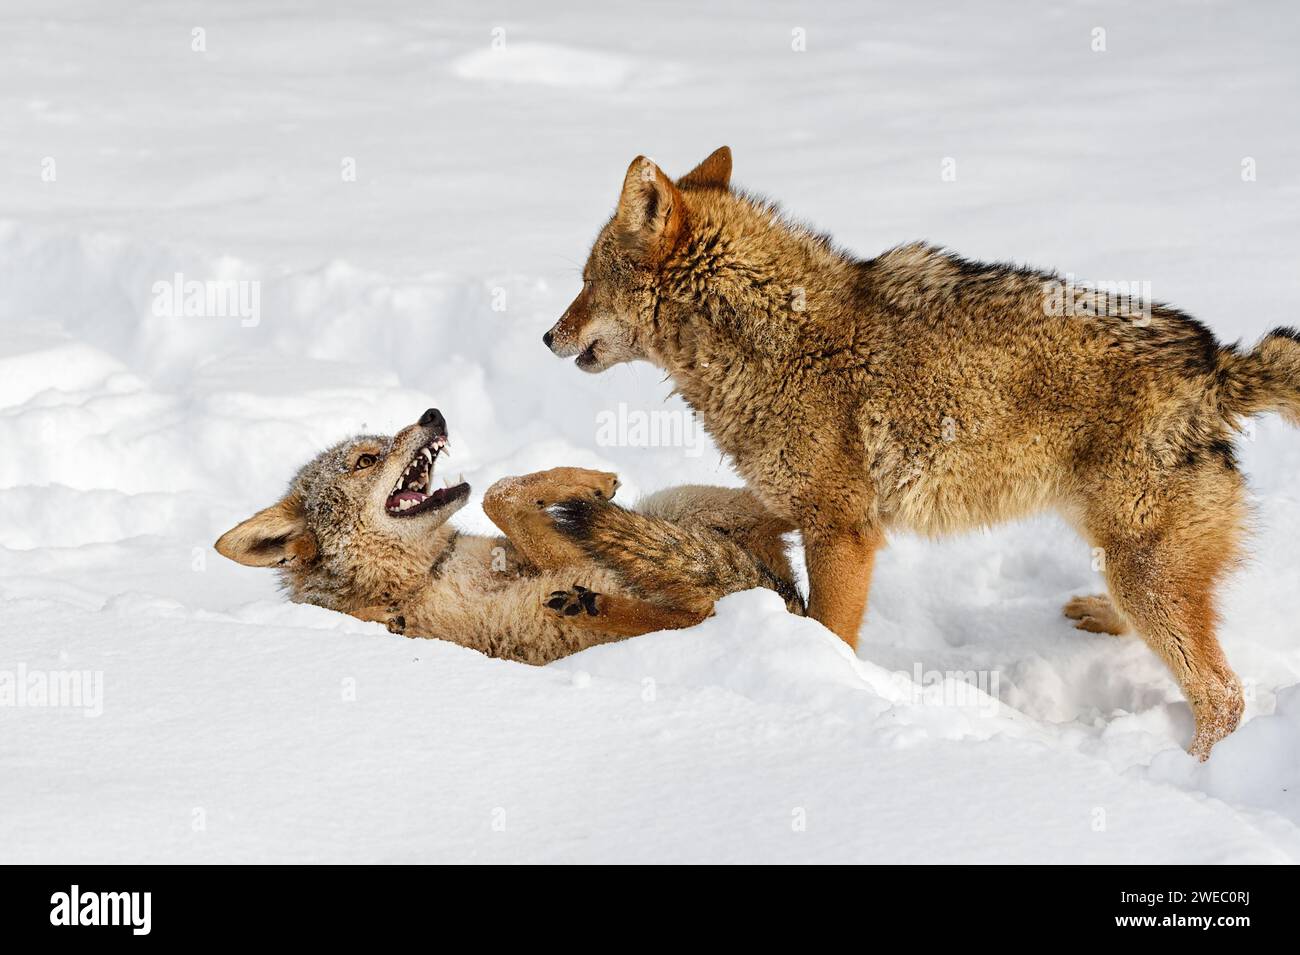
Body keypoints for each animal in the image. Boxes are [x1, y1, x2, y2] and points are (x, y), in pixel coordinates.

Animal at [214, 408, 802, 665]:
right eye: (365, 461)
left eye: (380, 441)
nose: (432, 414)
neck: (427, 577)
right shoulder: (568, 559)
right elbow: (500, 494)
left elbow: (502, 492)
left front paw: (589, 481)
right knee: (699, 610)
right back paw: (592, 605)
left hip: (683, 504)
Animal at [543, 146, 1300, 757]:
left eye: (585, 281)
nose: (548, 337)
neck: (766, 340)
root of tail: (1216, 364)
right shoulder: (790, 503)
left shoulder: (843, 532)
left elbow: (830, 631)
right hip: (1118, 549)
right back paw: (1099, 619)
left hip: (1142, 567)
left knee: (1223, 693)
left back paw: (1195, 769)